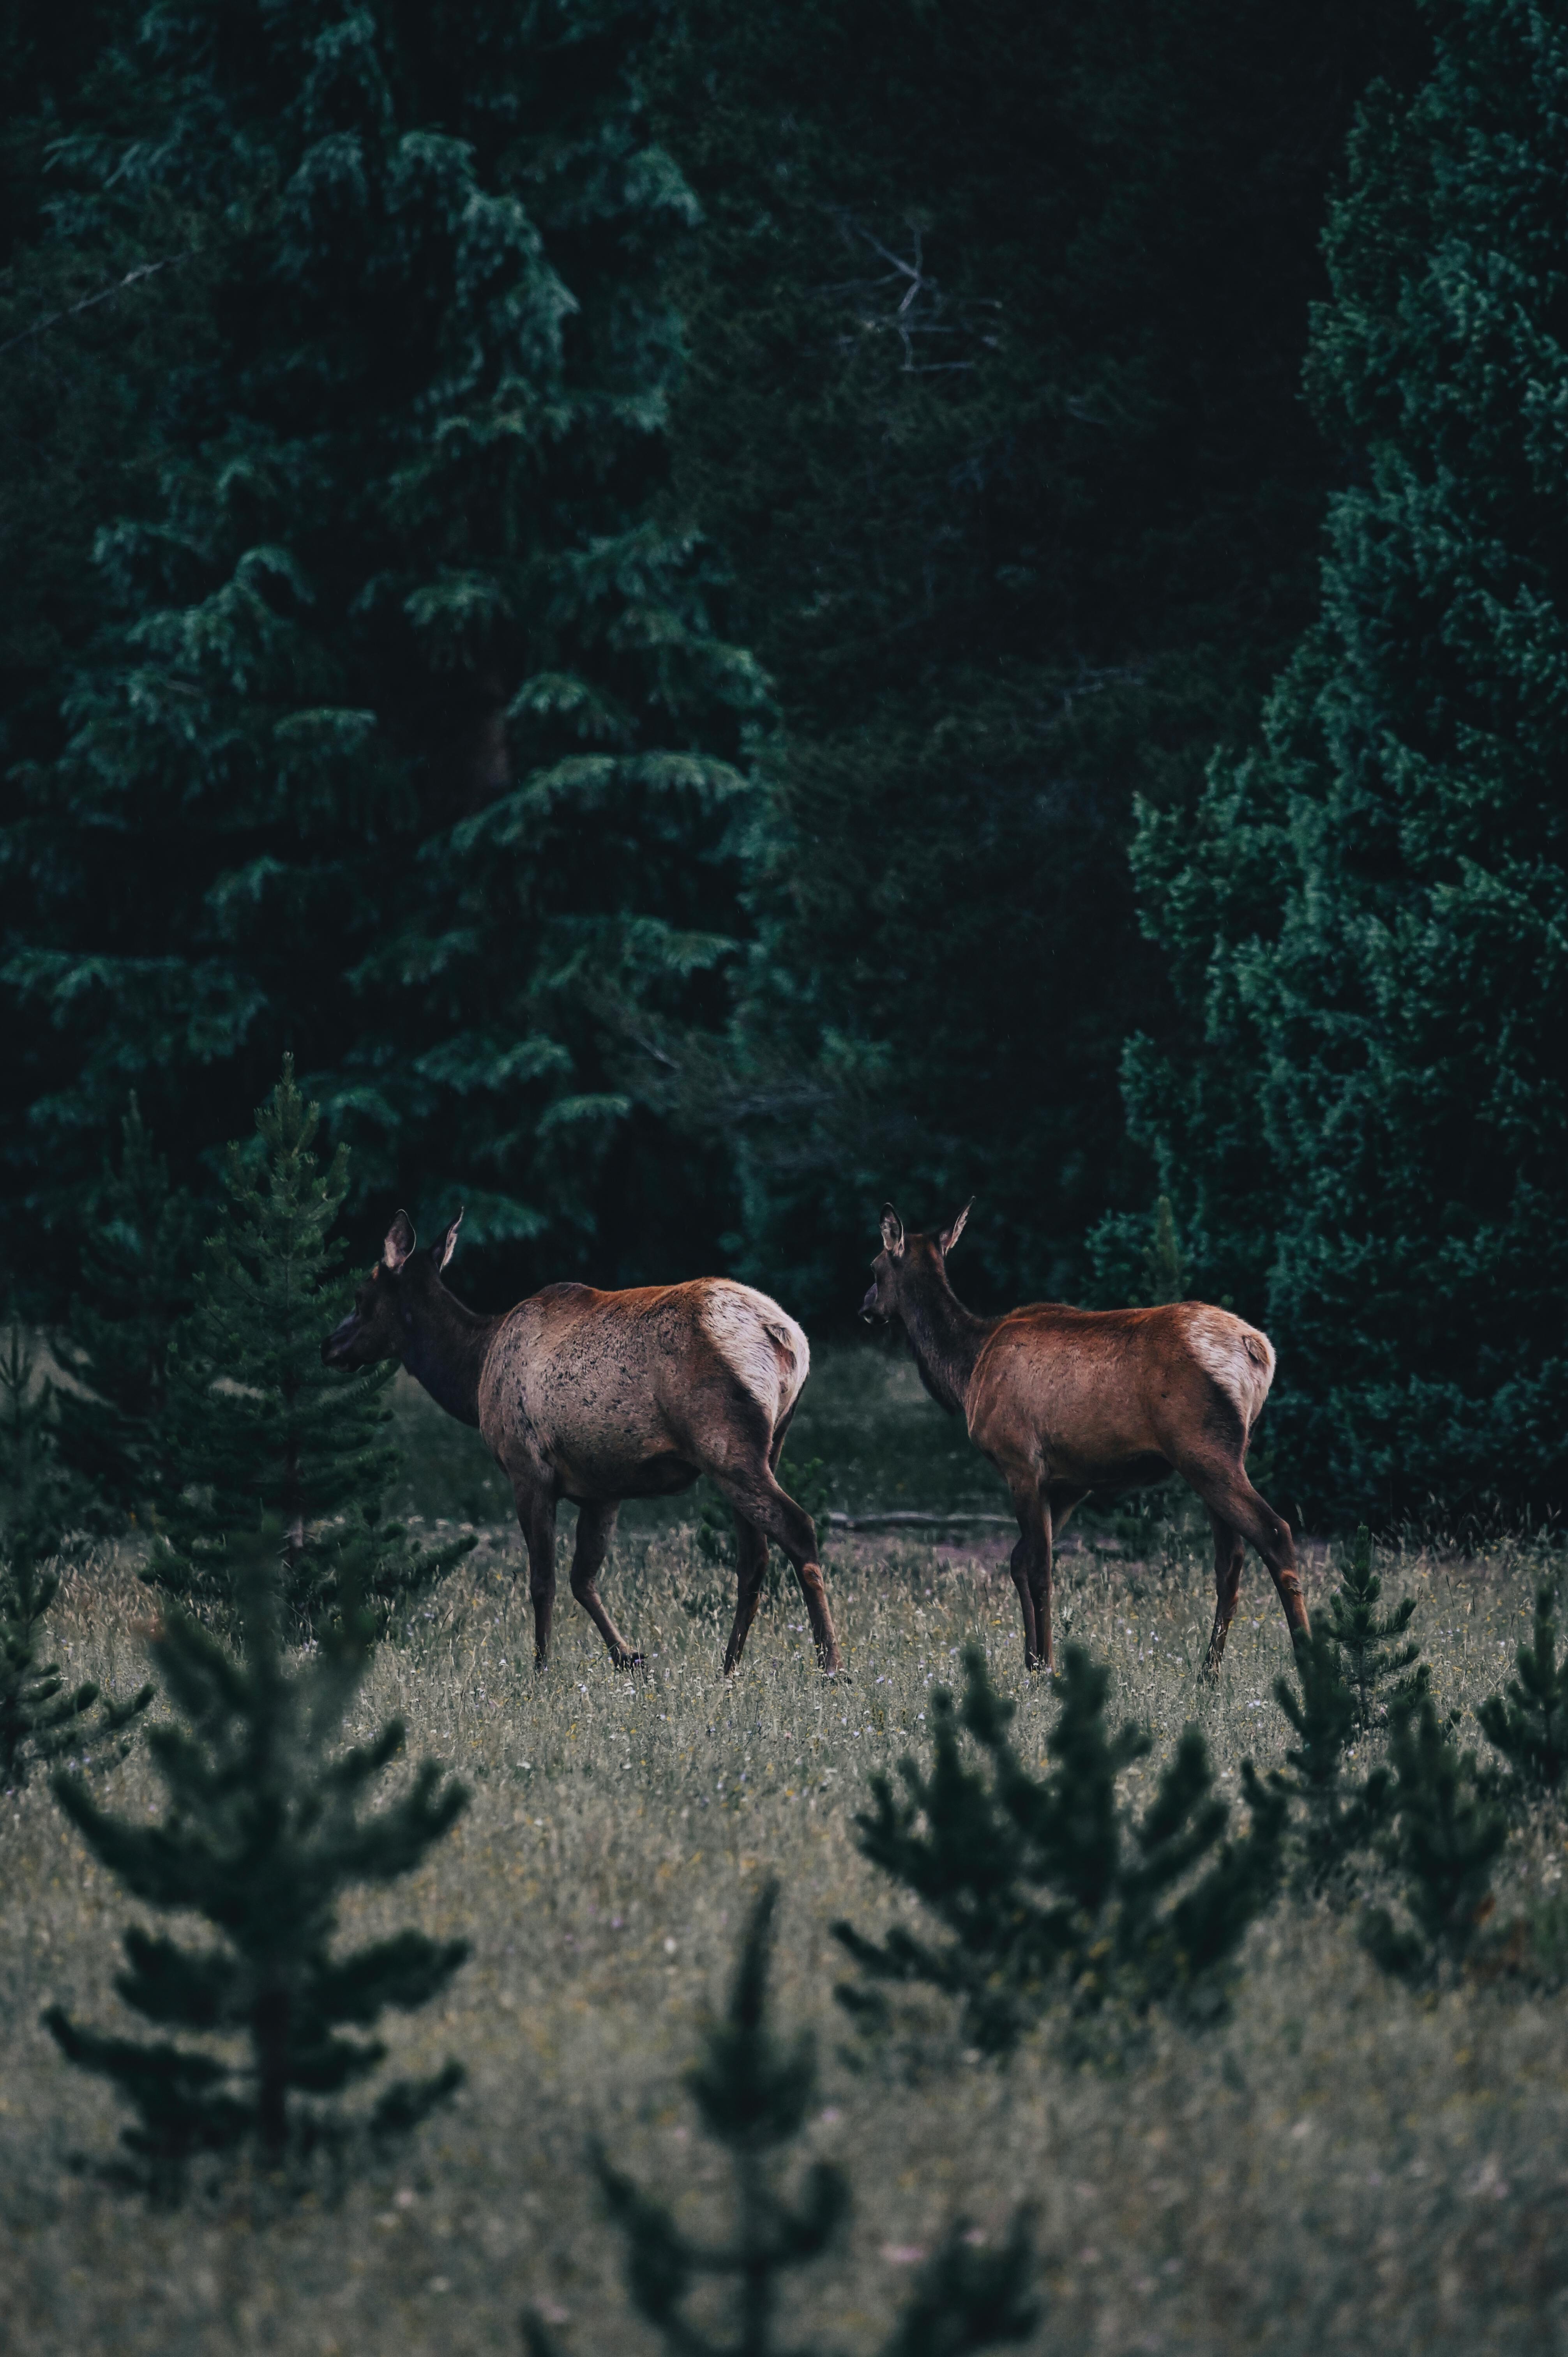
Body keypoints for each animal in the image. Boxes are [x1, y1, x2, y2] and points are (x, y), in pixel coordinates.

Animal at [321, 1210, 841, 1676]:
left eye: (361, 1295)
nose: (330, 1346)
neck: (474, 1374)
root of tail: (786, 1337)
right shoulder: (603, 1488)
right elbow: (582, 1579)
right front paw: (629, 1658)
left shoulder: (527, 1469)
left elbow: (543, 1582)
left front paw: (541, 1670)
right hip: (771, 1443)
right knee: (754, 1559)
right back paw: (729, 1668)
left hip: (725, 1445)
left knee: (797, 1528)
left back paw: (830, 1667)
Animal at [859, 1202, 1308, 1677]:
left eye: (874, 1267)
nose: (865, 1306)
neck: (967, 1374)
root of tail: (1258, 1351)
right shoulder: (1070, 1483)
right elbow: (1020, 1561)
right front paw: (1033, 1661)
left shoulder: (1020, 1462)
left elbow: (1040, 1568)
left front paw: (1045, 1667)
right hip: (1223, 1455)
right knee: (1230, 1560)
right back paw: (1208, 1673)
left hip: (1204, 1450)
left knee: (1275, 1532)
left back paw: (1306, 1659)